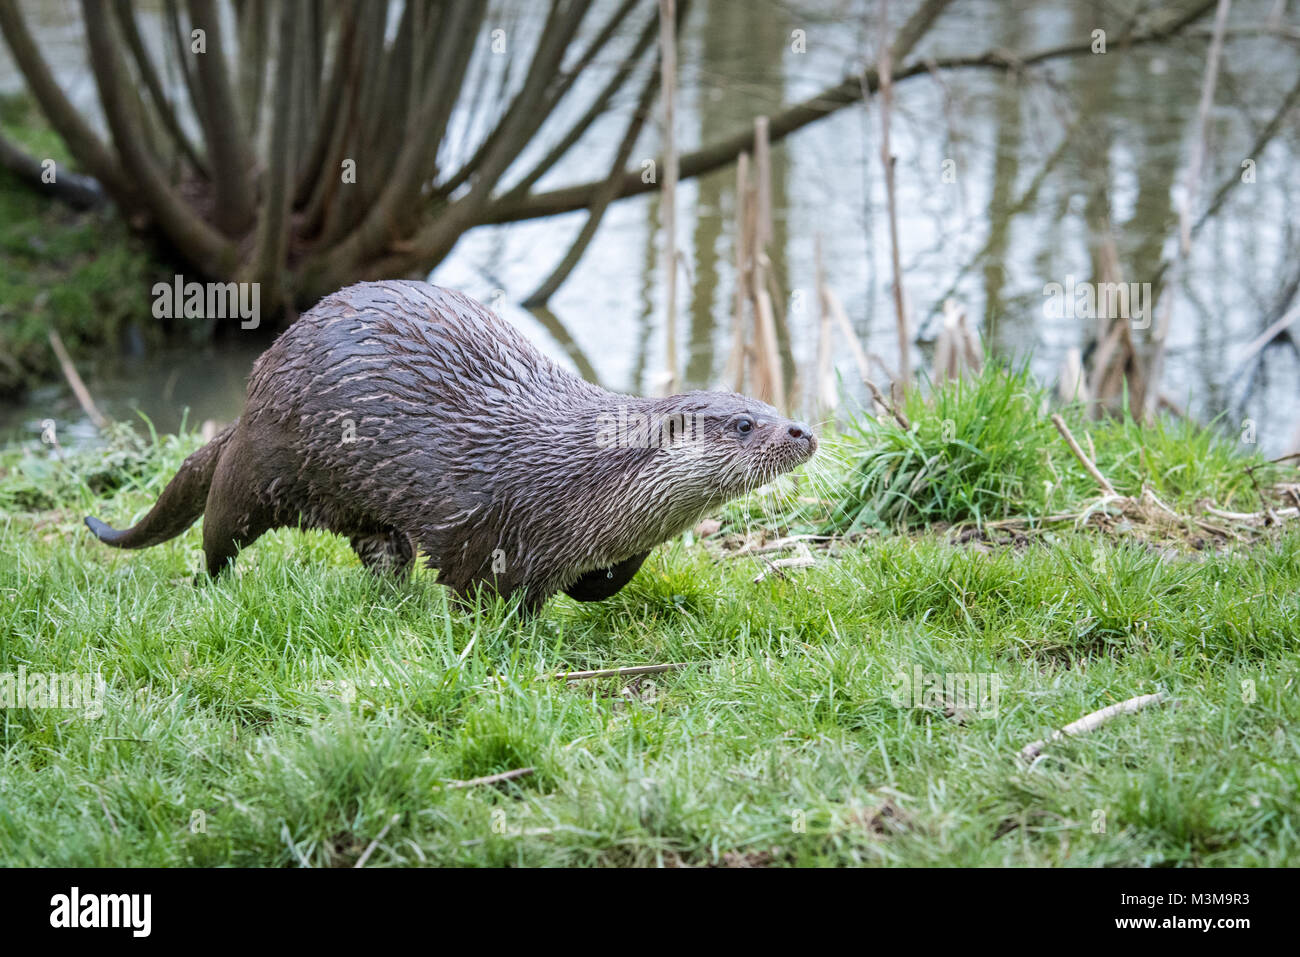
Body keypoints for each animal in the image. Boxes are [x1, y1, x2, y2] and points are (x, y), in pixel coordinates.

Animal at [86, 281, 816, 613]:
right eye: (744, 424)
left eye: (770, 406)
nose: (803, 431)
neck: (579, 476)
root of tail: (254, 394)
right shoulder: (485, 528)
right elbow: (479, 594)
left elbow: (596, 583)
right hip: (267, 461)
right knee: (220, 526)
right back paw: (213, 587)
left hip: (360, 509)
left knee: (383, 549)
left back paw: (387, 600)